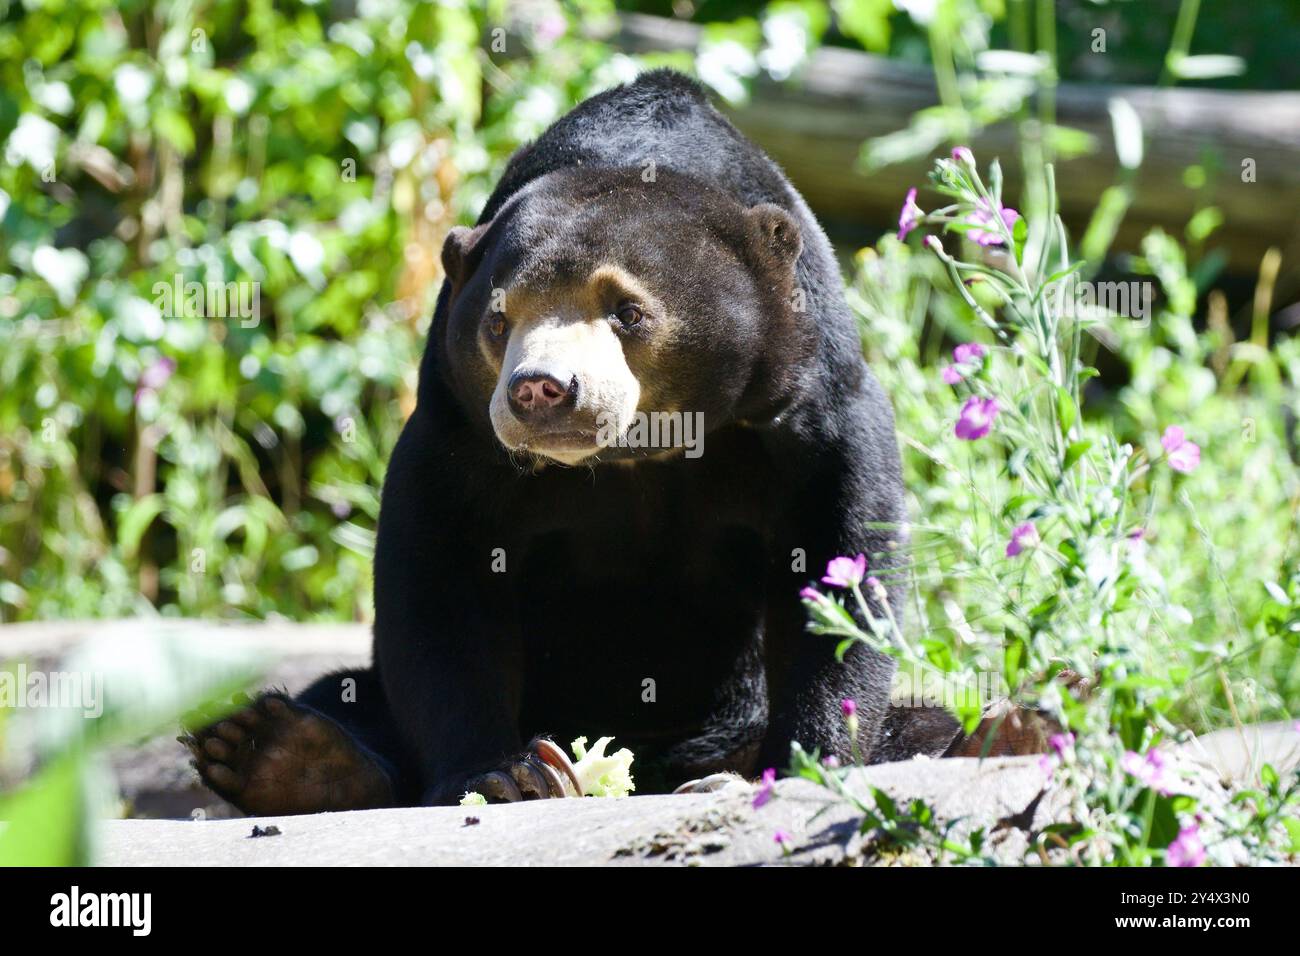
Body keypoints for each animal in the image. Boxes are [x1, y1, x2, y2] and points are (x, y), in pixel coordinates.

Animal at [185, 69, 955, 814]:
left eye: (627, 311)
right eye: (498, 320)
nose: (541, 389)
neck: (640, 452)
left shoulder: (808, 413)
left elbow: (838, 563)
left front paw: (806, 762)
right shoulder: (458, 429)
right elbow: (441, 577)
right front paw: (506, 776)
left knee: (928, 718)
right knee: (345, 694)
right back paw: (283, 753)